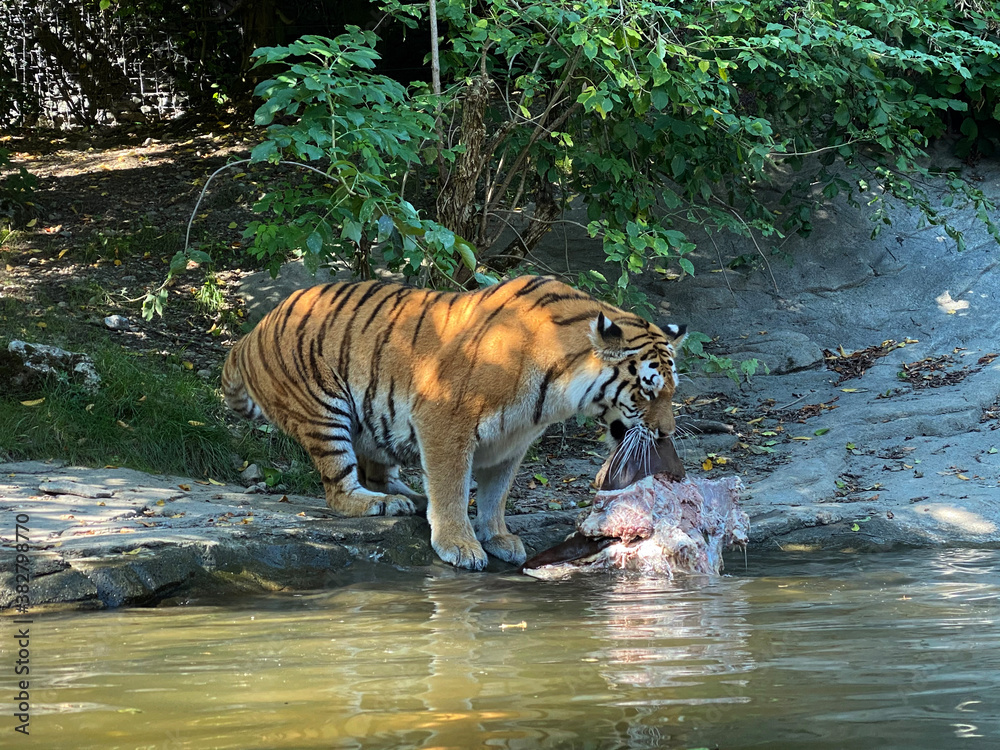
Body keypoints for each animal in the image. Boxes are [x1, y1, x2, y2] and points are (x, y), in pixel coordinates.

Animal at [222, 275, 687, 571]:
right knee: (339, 487)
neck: (557, 388)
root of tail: (247, 336)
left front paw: (498, 537)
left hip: (376, 420)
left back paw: (408, 498)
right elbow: (452, 486)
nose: (666, 432)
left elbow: (496, 494)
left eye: (672, 391)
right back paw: (377, 504)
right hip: (325, 409)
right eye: (647, 390)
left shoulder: (512, 440)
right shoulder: (445, 418)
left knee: (379, 471)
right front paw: (459, 545)